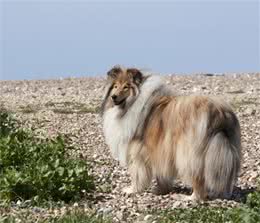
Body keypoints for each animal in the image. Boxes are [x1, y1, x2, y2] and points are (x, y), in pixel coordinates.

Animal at [101, 65, 242, 199]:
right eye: (115, 86)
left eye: (126, 87)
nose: (113, 97)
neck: (132, 103)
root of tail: (219, 114)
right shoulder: (161, 150)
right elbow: (162, 174)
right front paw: (161, 190)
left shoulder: (138, 152)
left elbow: (136, 174)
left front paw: (132, 190)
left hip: (187, 153)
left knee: (198, 180)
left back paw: (190, 198)